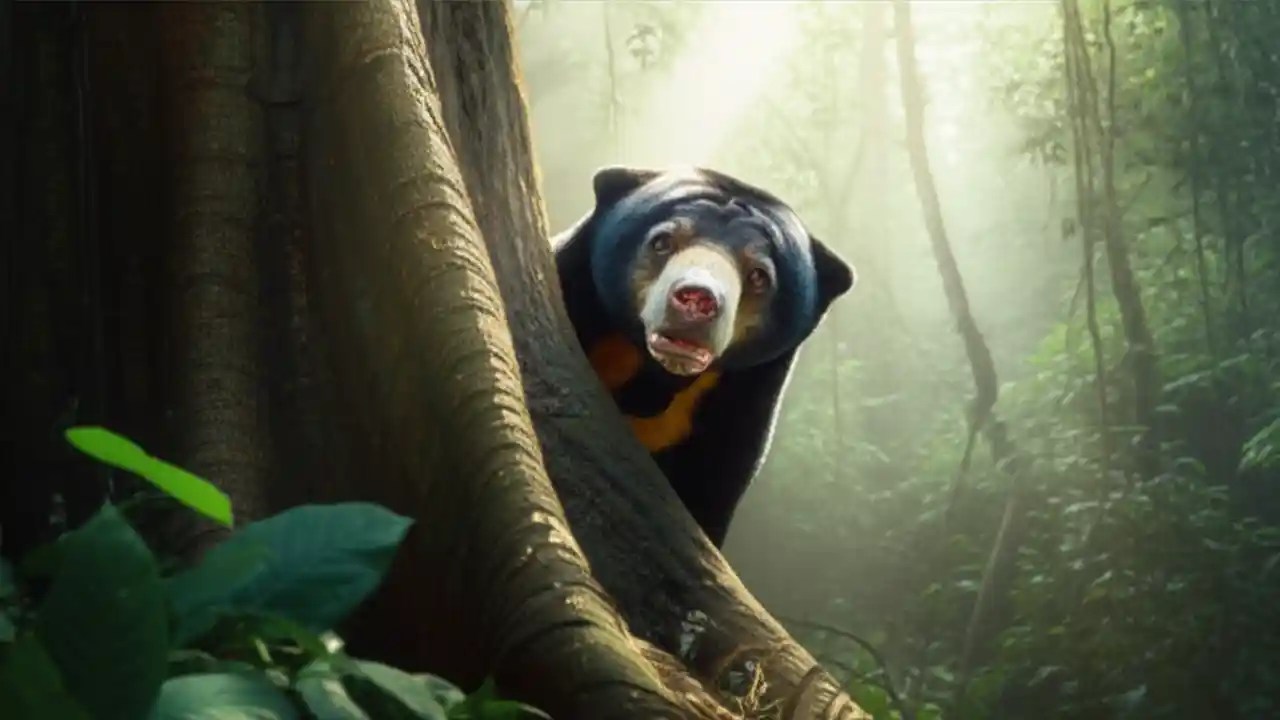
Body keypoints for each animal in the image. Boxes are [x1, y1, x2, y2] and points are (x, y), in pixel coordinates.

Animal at [552, 166, 856, 548]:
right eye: (662, 242)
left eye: (759, 275)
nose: (696, 300)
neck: (653, 376)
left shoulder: (740, 411)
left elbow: (710, 490)